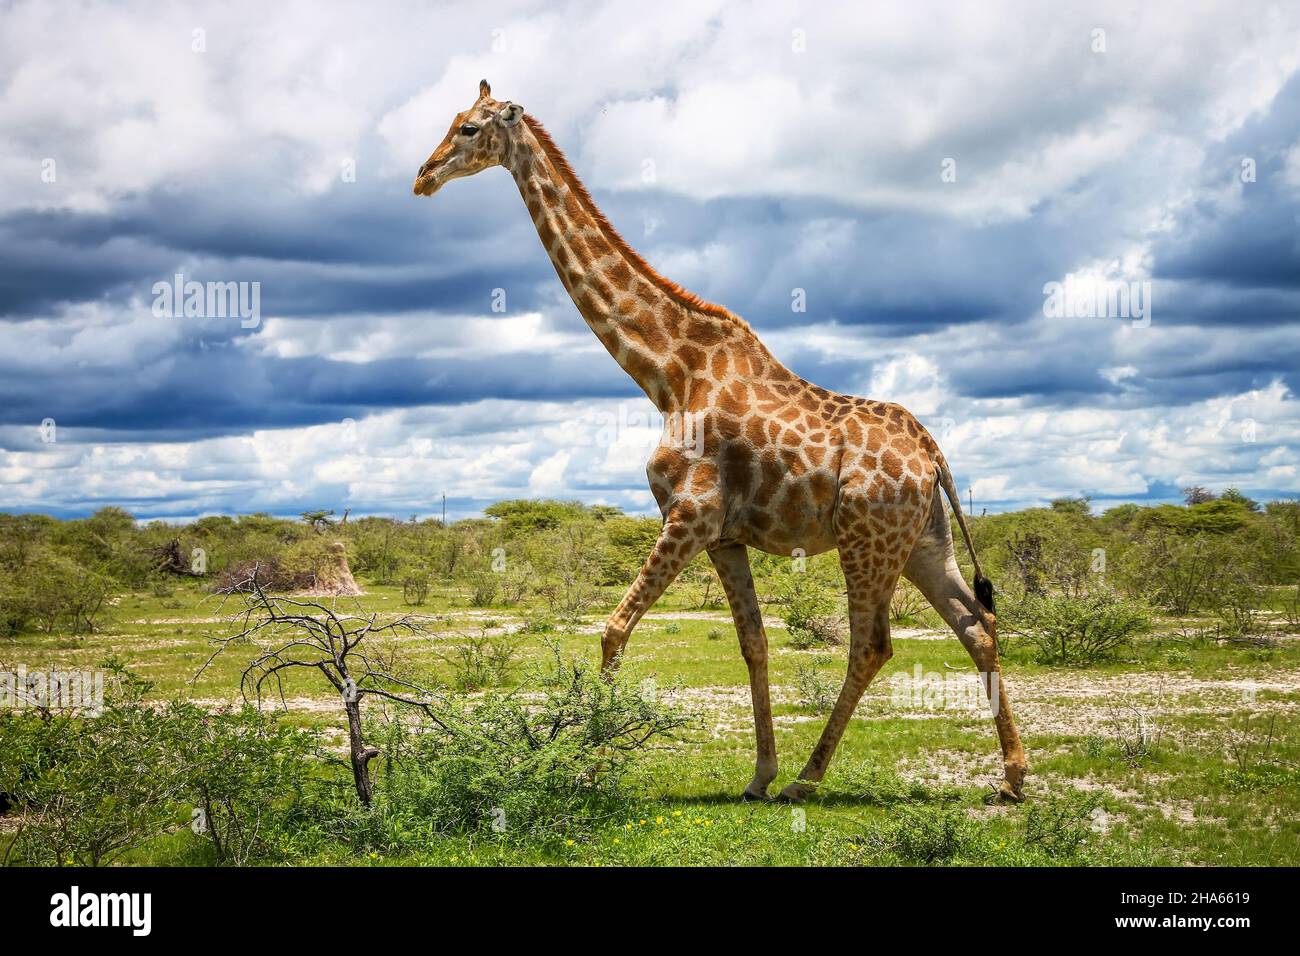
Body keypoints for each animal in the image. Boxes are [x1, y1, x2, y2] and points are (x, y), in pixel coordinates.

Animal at [413, 81, 1027, 802]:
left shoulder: (691, 512)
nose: (422, 176)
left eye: (470, 129)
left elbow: (614, 628)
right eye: (453, 120)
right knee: (975, 624)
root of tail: (933, 454)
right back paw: (1012, 777)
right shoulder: (725, 533)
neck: (668, 373)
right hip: (924, 542)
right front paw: (757, 774)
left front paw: (586, 767)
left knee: (873, 644)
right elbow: (753, 643)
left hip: (868, 540)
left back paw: (808, 780)